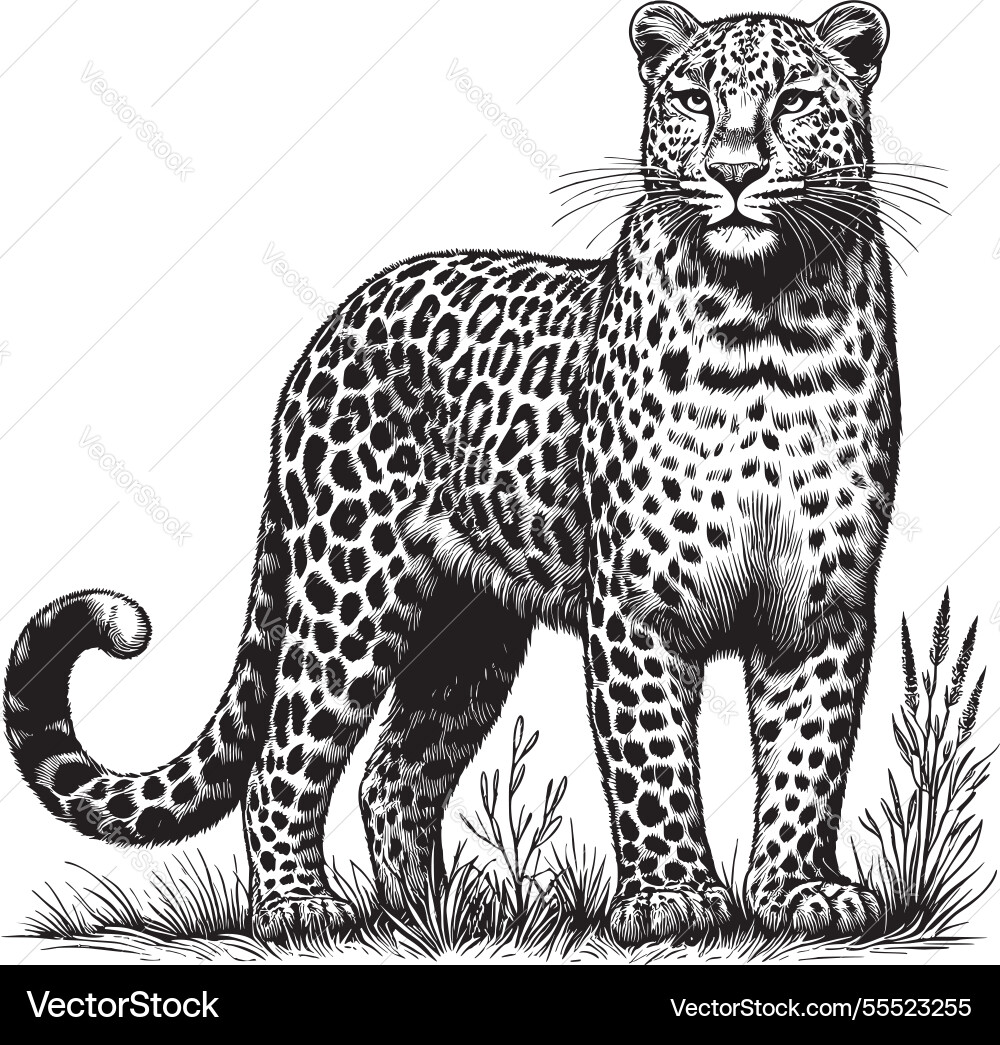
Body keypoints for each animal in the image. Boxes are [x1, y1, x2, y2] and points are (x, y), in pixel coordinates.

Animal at [5, 2, 898, 947]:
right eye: (693, 99)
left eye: (795, 99)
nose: (734, 170)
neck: (765, 328)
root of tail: (332, 328)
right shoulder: (635, 604)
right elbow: (650, 755)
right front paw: (673, 896)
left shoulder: (827, 605)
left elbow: (809, 756)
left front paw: (799, 890)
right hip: (350, 587)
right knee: (286, 755)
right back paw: (300, 907)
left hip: (469, 627)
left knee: (395, 771)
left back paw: (438, 912)